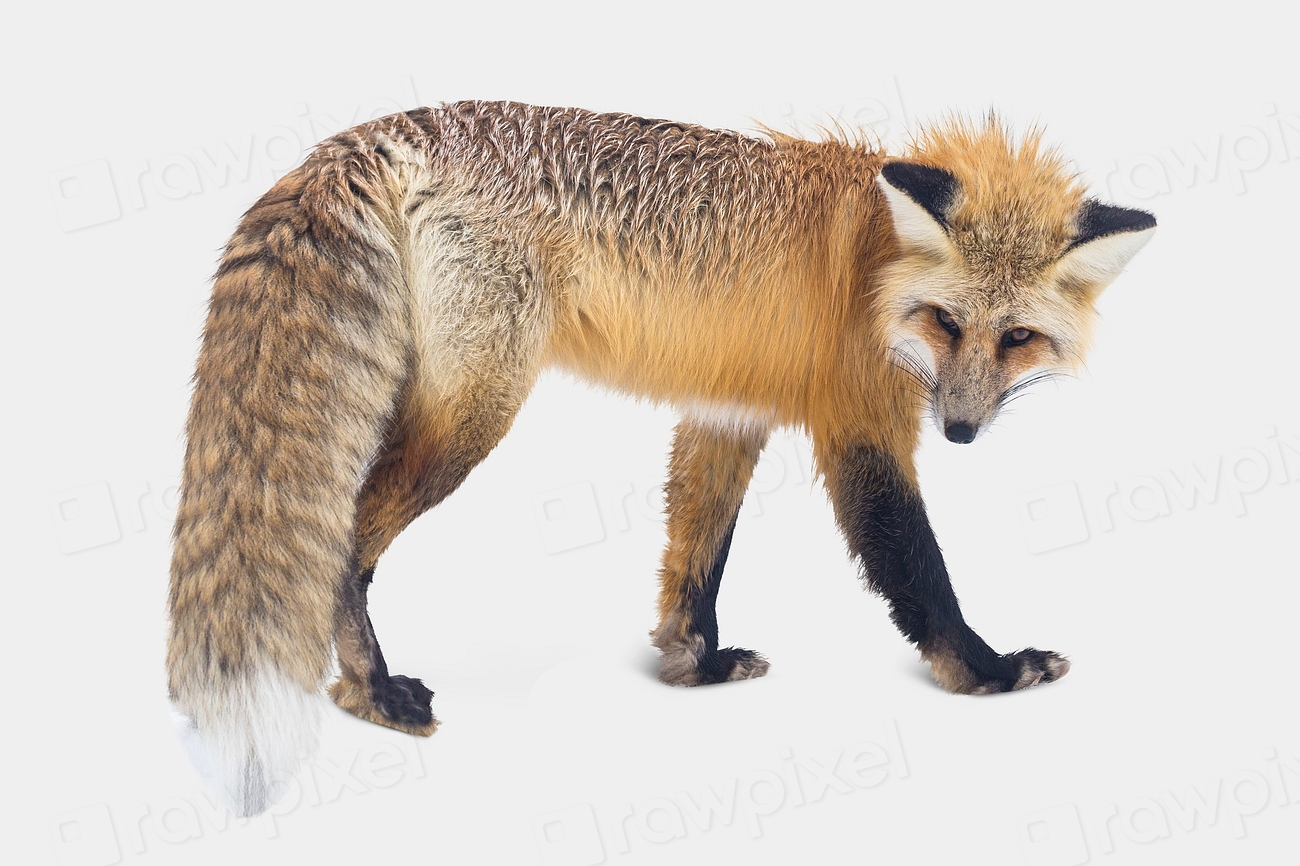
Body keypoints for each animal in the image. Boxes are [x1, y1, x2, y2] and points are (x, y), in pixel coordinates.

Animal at [166, 100, 1155, 816]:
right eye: (947, 323)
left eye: (1018, 338)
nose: (957, 432)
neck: (874, 266)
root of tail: (383, 129)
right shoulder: (860, 430)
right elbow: (919, 572)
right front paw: (987, 672)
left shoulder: (727, 414)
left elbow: (695, 559)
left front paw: (694, 665)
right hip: (473, 416)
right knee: (343, 542)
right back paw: (369, 690)